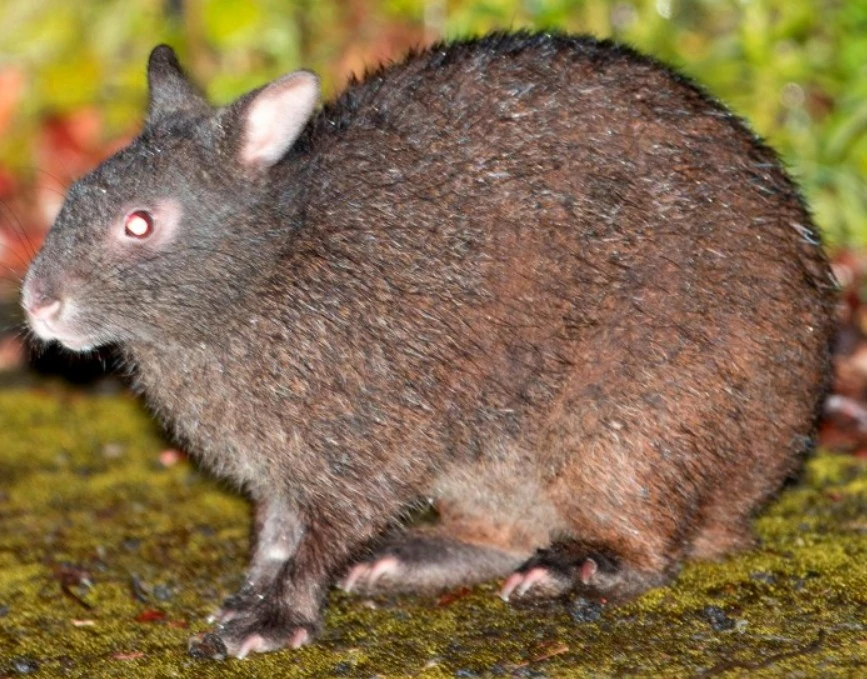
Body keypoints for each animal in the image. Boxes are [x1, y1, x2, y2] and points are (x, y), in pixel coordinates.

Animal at [21, 32, 835, 659]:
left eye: (140, 223)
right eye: (74, 194)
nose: (36, 302)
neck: (265, 270)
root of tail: (768, 471)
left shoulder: (367, 447)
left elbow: (319, 539)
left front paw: (271, 622)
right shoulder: (286, 472)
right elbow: (276, 537)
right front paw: (247, 602)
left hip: (625, 436)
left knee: (650, 552)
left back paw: (574, 569)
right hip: (494, 467)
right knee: (506, 536)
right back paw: (409, 558)